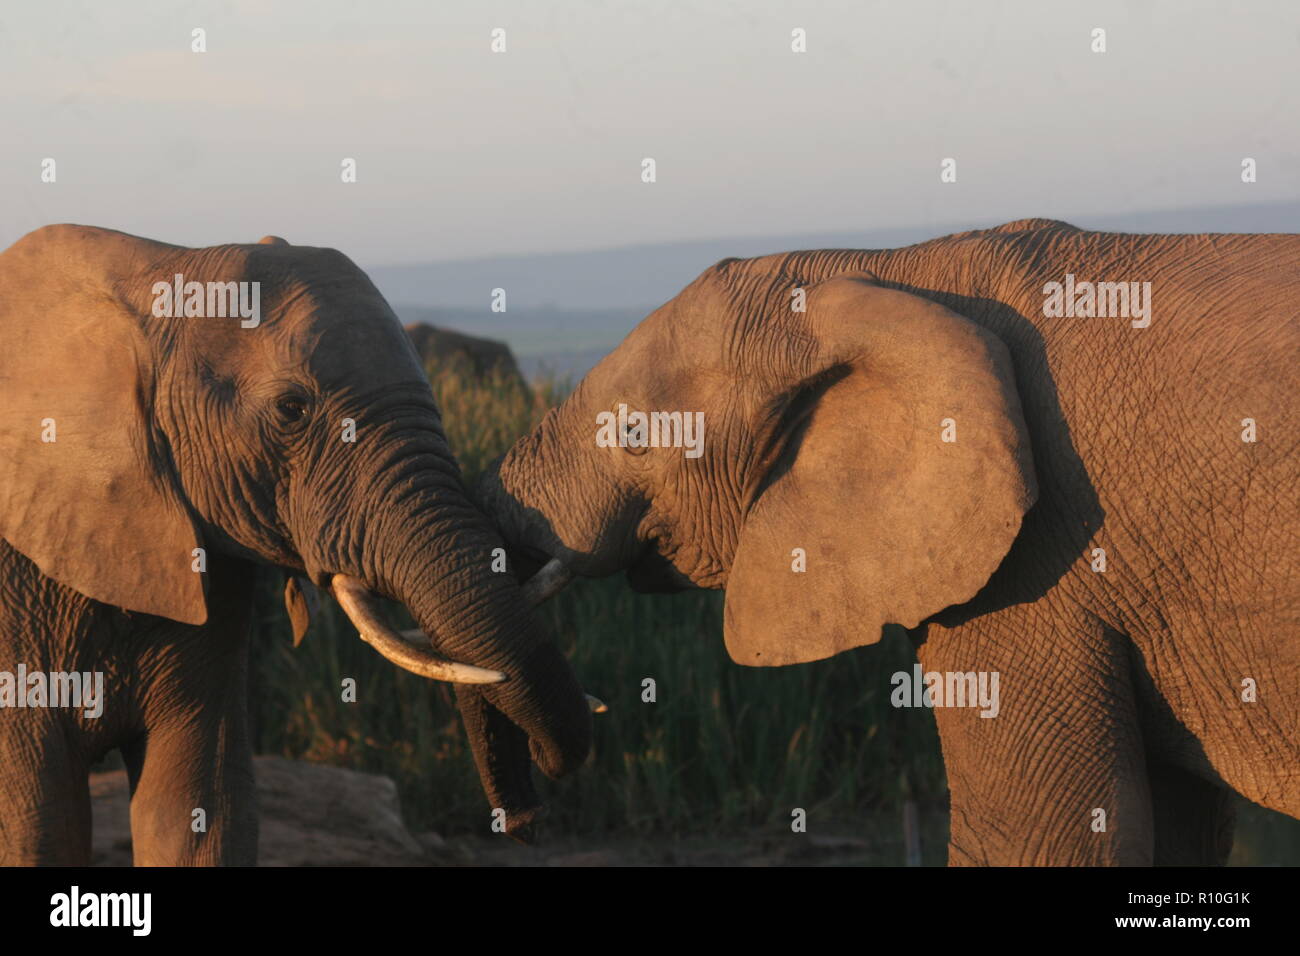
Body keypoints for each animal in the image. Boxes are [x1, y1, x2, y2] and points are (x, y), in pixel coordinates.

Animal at [472, 218, 1299, 865]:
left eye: (638, 437)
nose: (527, 823)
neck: (879, 273)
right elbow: (1178, 825)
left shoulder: (1041, 564)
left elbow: (1039, 837)